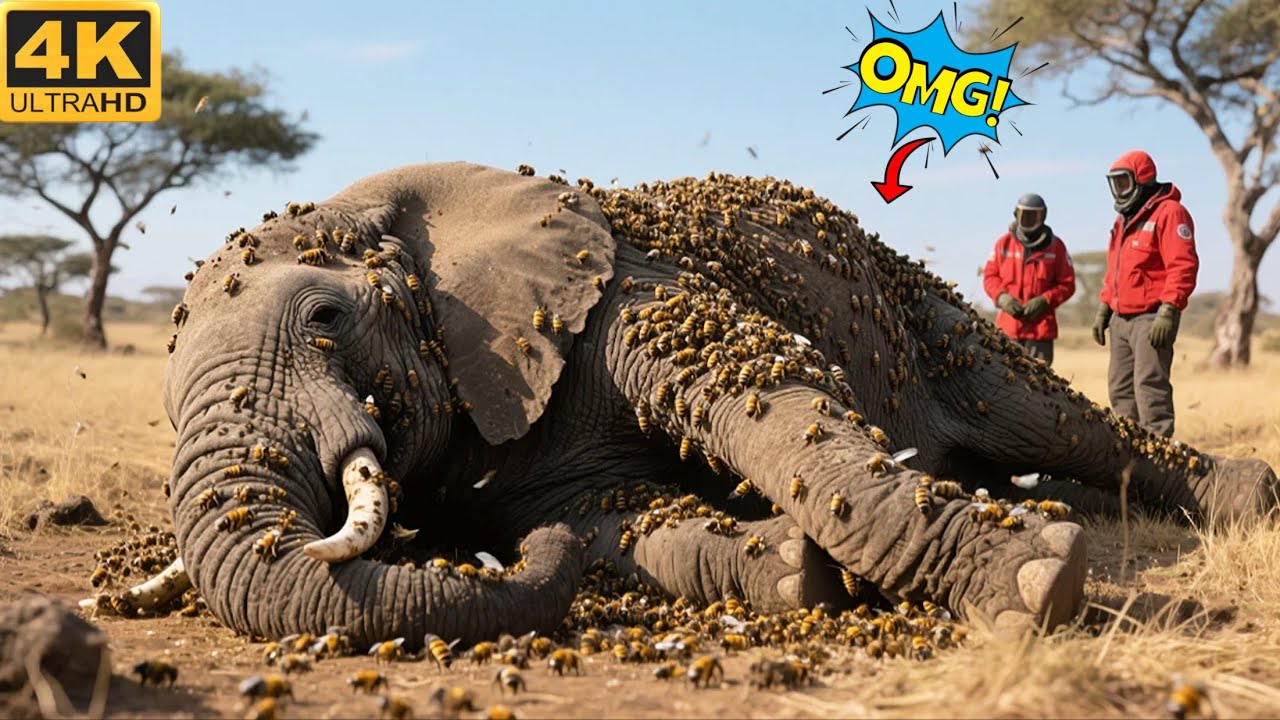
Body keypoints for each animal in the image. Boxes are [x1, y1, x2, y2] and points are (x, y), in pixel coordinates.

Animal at [117, 161, 1276, 652]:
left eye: (324, 318)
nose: (491, 555)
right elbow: (605, 521)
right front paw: (793, 572)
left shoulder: (628, 290)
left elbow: (769, 403)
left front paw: (1034, 583)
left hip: (926, 311)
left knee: (1036, 414)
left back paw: (1234, 500)